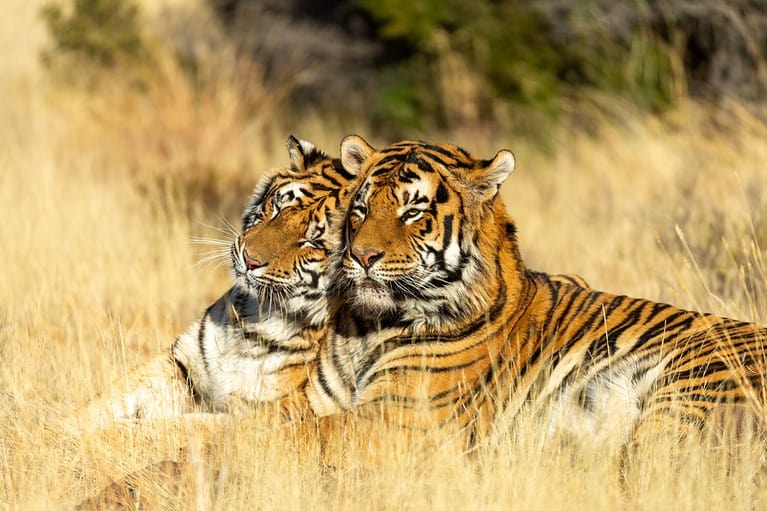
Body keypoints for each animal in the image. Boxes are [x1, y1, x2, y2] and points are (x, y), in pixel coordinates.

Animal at [72, 136, 358, 431]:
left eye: (311, 243)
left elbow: (163, 427)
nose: (249, 260)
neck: (256, 320)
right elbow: (104, 401)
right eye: (278, 207)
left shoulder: (251, 412)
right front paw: (62, 426)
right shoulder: (181, 362)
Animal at [303, 134, 767, 454]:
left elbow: (303, 432)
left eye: (413, 212)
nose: (362, 255)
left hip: (681, 391)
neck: (369, 327)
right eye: (361, 210)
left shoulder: (399, 417)